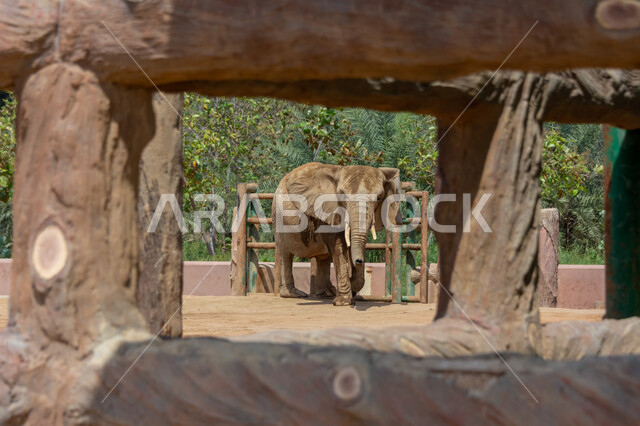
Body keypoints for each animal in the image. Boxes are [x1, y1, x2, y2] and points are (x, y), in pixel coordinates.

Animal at [272, 163, 401, 306]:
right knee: (285, 254)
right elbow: (338, 248)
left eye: (379, 198)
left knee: (322, 258)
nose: (359, 260)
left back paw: (327, 293)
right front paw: (343, 302)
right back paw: (294, 294)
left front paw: (351, 290)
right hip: (278, 219)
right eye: (343, 196)